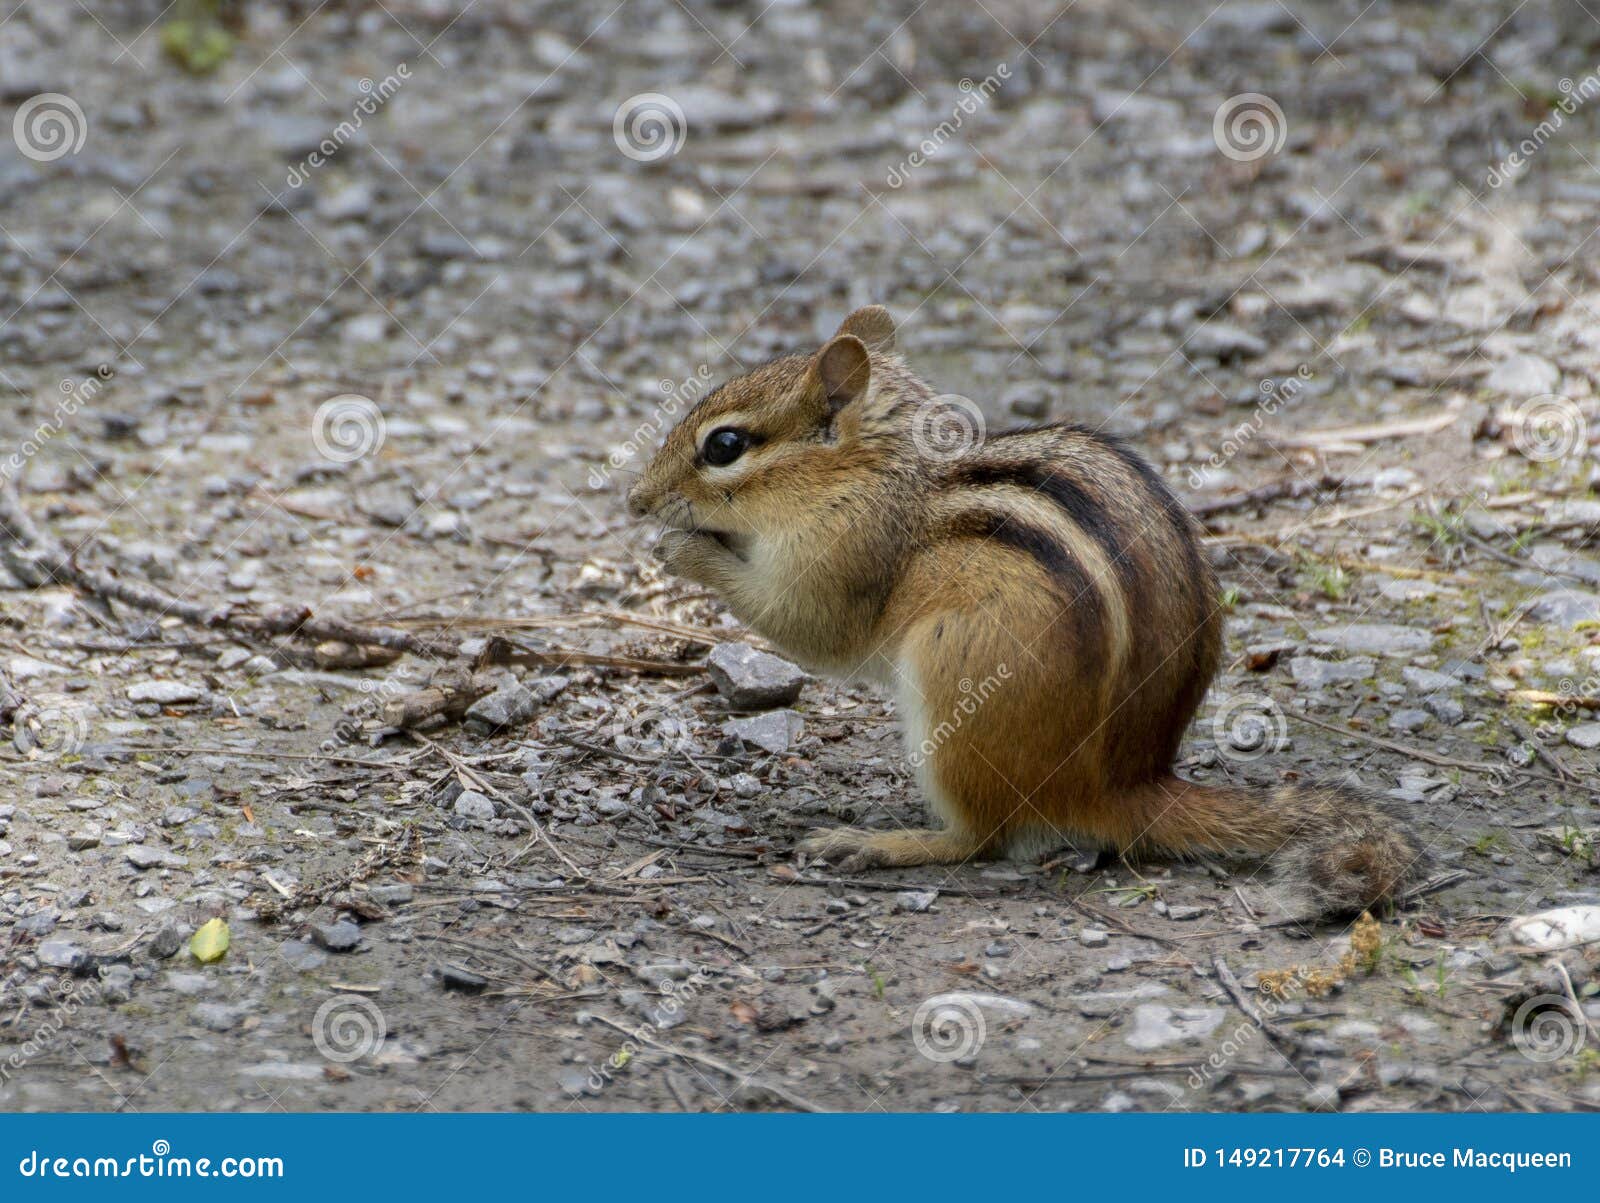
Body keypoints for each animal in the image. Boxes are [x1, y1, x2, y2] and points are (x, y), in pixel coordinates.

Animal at [627, 306, 1424, 917]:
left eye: (725, 445)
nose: (635, 500)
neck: (875, 472)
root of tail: (1124, 787)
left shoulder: (841, 556)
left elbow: (805, 624)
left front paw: (682, 549)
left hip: (953, 689)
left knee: (981, 837)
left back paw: (880, 842)